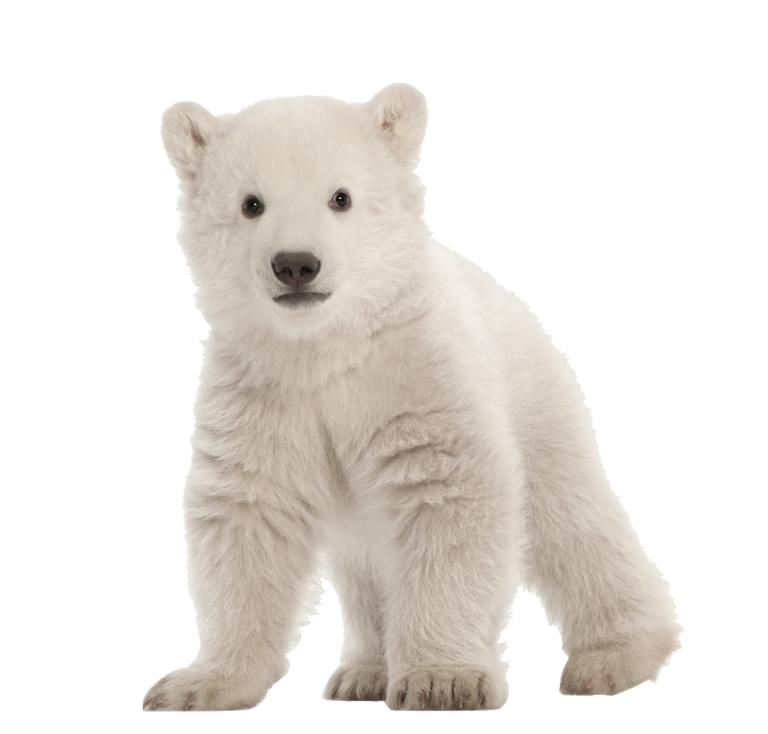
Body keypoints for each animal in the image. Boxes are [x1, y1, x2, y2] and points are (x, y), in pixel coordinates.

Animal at [144, 83, 682, 711]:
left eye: (342, 197)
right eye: (251, 203)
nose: (296, 264)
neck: (326, 349)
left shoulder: (415, 376)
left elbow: (447, 497)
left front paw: (441, 679)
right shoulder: (262, 394)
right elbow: (248, 516)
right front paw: (197, 685)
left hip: (533, 393)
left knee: (569, 518)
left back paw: (617, 658)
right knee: (369, 559)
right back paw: (363, 672)